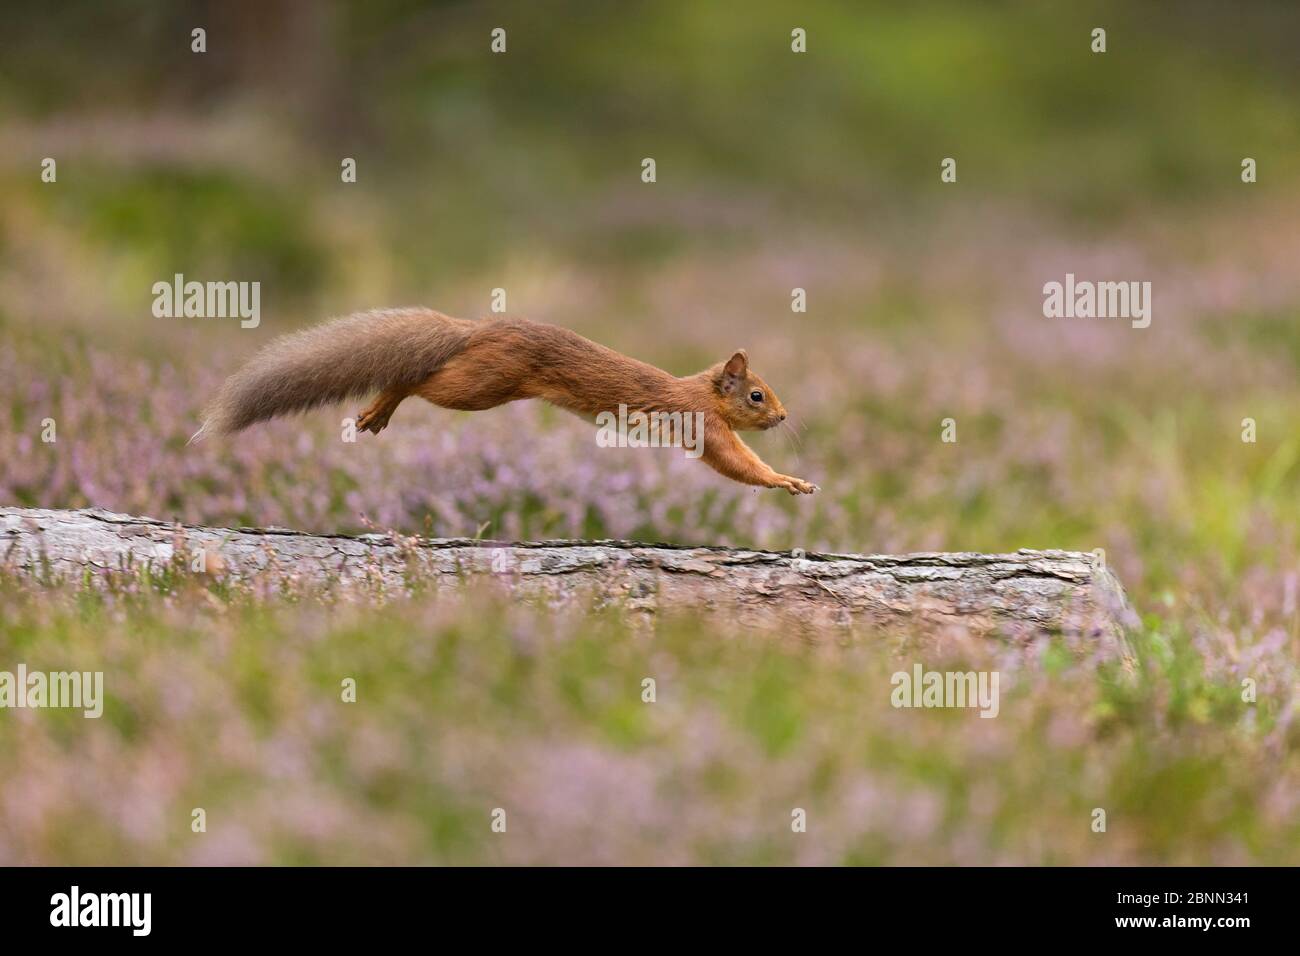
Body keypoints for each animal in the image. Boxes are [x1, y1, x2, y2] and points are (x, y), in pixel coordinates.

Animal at [196, 308, 818, 495]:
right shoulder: (706, 427)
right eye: (757, 395)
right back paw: (381, 406)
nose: (786, 416)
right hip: (478, 386)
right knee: (416, 379)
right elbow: (738, 464)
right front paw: (788, 481)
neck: (697, 388)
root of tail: (477, 328)